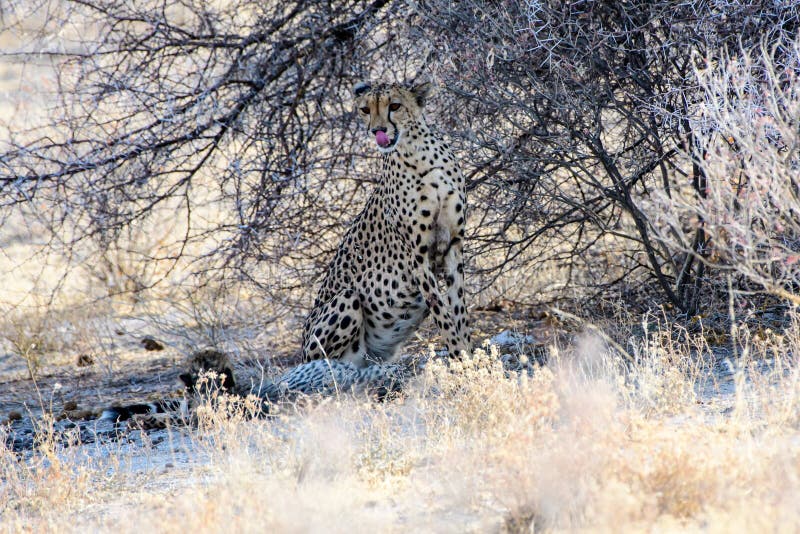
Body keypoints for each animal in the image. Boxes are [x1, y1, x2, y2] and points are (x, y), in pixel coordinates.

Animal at [300, 80, 472, 368]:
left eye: (395, 106)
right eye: (365, 109)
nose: (377, 130)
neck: (419, 154)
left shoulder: (453, 245)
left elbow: (459, 309)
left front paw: (474, 356)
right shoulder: (417, 255)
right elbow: (441, 312)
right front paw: (461, 358)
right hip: (346, 299)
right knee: (326, 363)